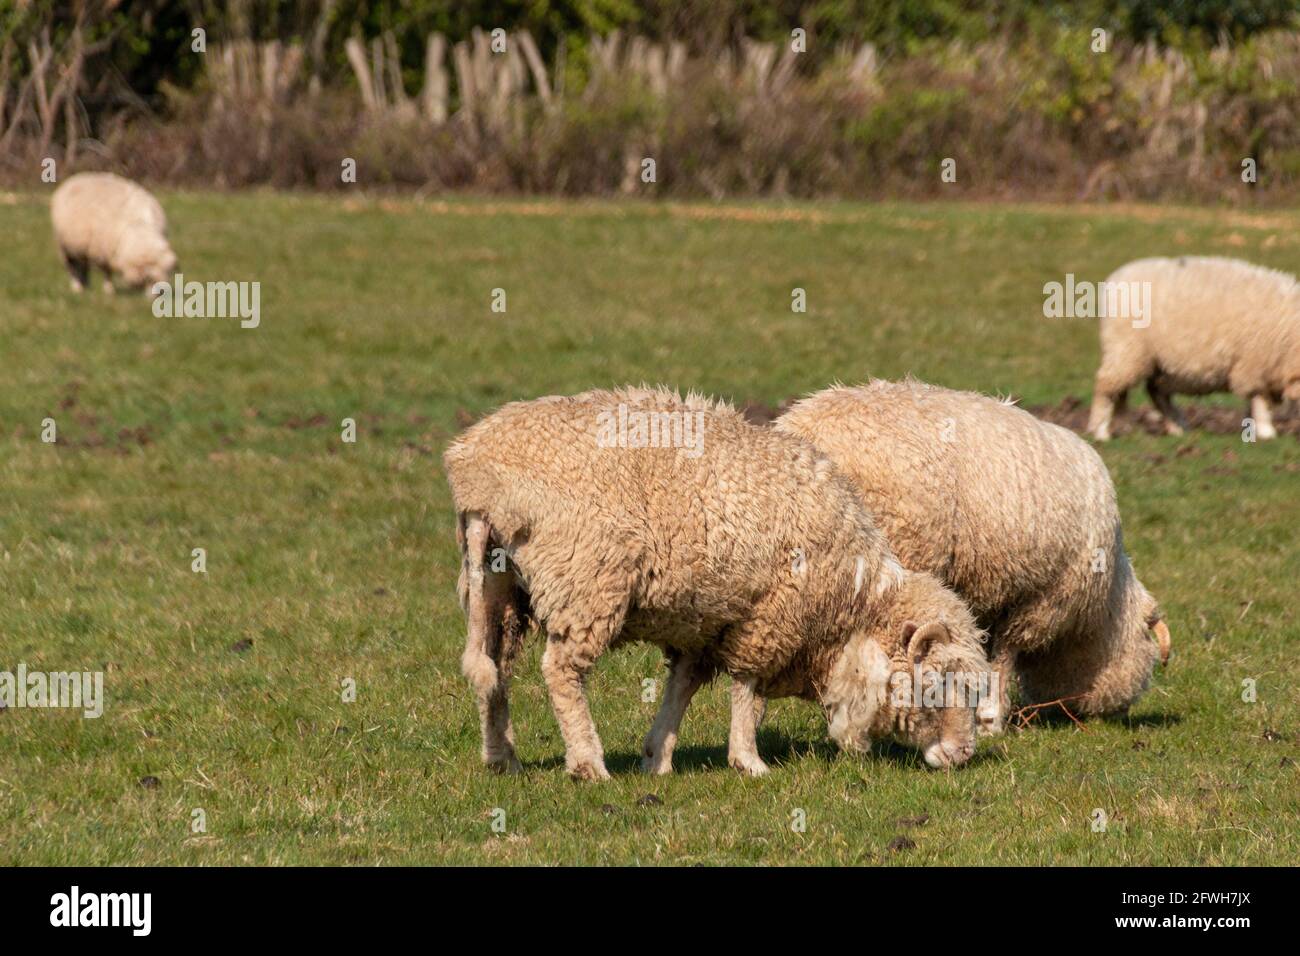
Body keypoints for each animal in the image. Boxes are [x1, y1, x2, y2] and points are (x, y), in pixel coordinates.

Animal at [444, 386, 994, 780]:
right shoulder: (772, 616)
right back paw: (587, 763)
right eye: (938, 684)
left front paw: (658, 757)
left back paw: (502, 757)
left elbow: (683, 686)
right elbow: (750, 691)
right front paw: (748, 761)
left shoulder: (706, 624)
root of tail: (475, 471)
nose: (962, 755)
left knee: (493, 669)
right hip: (587, 578)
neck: (850, 602)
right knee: (561, 672)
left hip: (497, 588)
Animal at [775, 380, 1170, 729]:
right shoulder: (1039, 600)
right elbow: (1005, 654)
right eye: (1145, 651)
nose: (1118, 712)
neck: (1103, 605)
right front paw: (992, 717)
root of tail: (802, 426)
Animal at [1088, 256, 1300, 441]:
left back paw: (1178, 426)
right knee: (1106, 386)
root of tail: (1115, 278)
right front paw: (1266, 431)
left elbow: (1254, 402)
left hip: (1163, 365)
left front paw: (1252, 428)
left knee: (1156, 391)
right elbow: (1261, 401)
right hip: (1126, 350)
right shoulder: (1257, 364)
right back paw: (1100, 431)